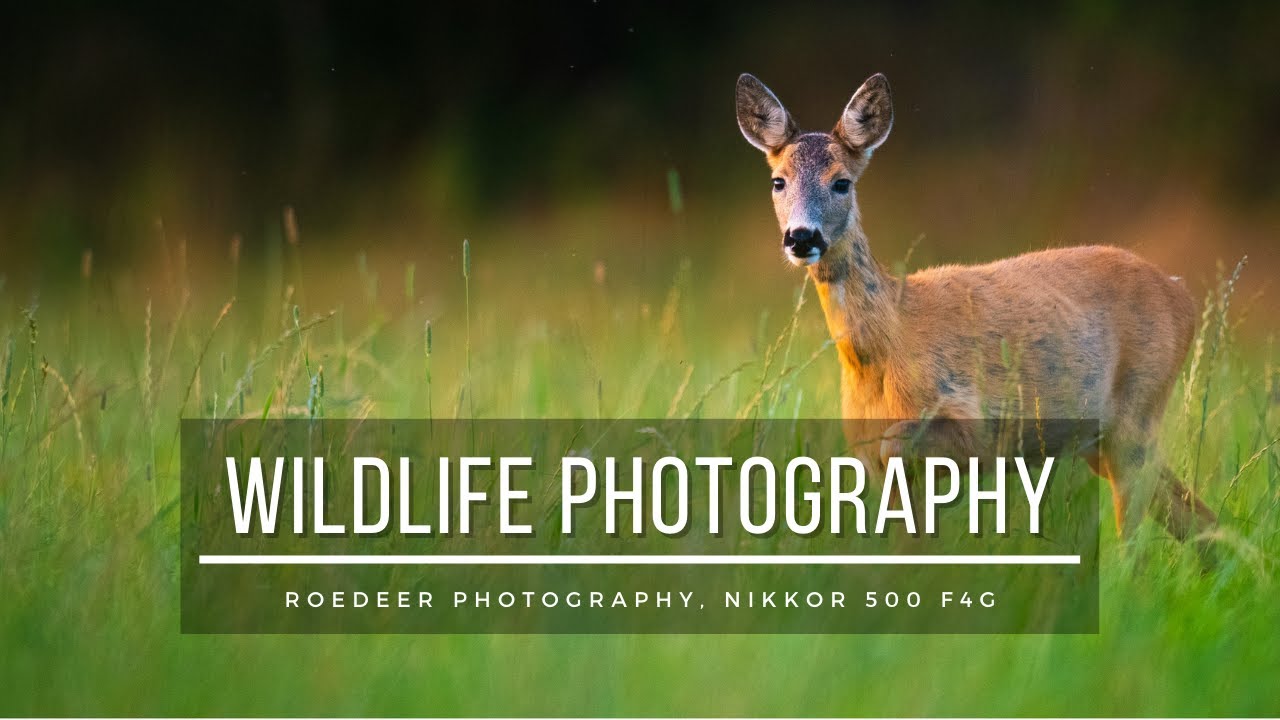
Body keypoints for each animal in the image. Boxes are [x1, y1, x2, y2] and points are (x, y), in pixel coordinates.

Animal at [735, 72, 1217, 545]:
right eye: (778, 181)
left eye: (841, 182)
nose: (802, 237)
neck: (887, 346)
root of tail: (1185, 297)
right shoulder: (865, 449)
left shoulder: (977, 423)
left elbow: (903, 451)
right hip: (1102, 438)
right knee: (1197, 519)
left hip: (1137, 411)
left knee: (1135, 534)